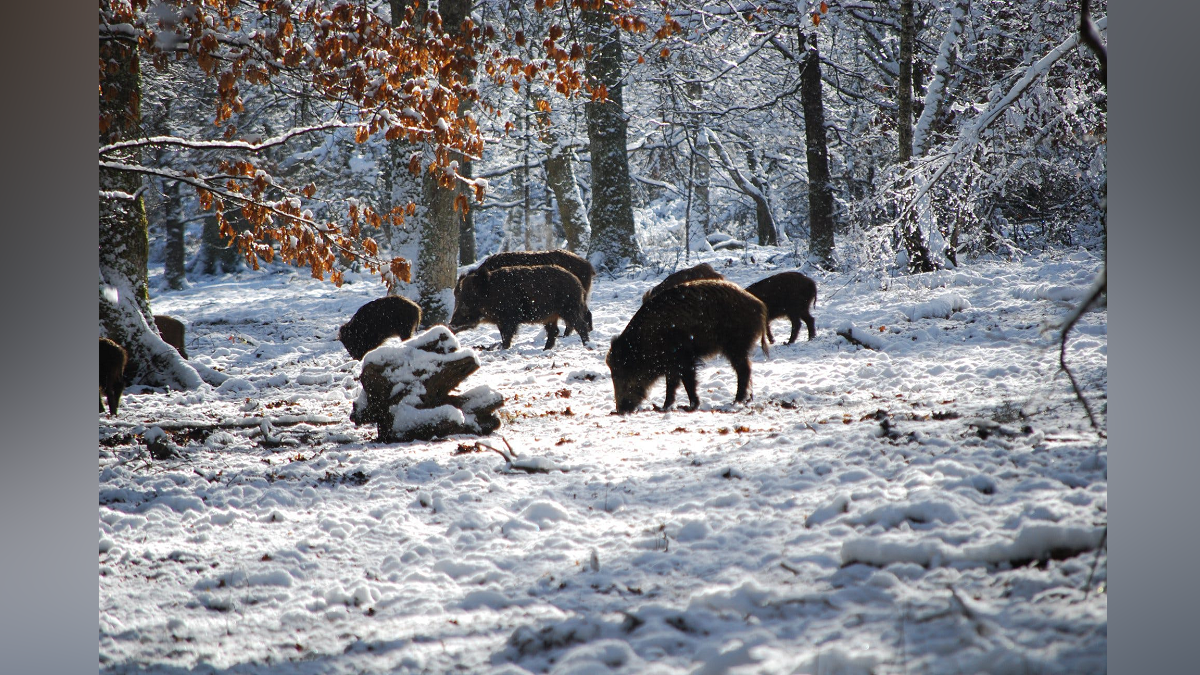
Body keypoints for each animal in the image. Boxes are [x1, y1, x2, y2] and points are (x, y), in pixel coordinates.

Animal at [449, 264, 591, 350]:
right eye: (456, 298)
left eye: (467, 300)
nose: (451, 324)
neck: (491, 293)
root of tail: (578, 284)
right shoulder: (501, 320)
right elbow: (503, 334)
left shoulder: (509, 317)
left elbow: (507, 334)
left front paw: (503, 348)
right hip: (551, 316)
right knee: (554, 331)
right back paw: (545, 350)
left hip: (569, 309)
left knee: (580, 326)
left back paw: (587, 346)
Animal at [606, 279, 769, 413]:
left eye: (623, 371)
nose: (620, 410)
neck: (646, 342)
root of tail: (759, 305)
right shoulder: (674, 363)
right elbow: (676, 383)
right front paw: (669, 406)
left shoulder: (682, 358)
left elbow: (684, 382)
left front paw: (684, 407)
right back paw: (746, 400)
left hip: (736, 345)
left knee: (743, 370)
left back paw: (736, 402)